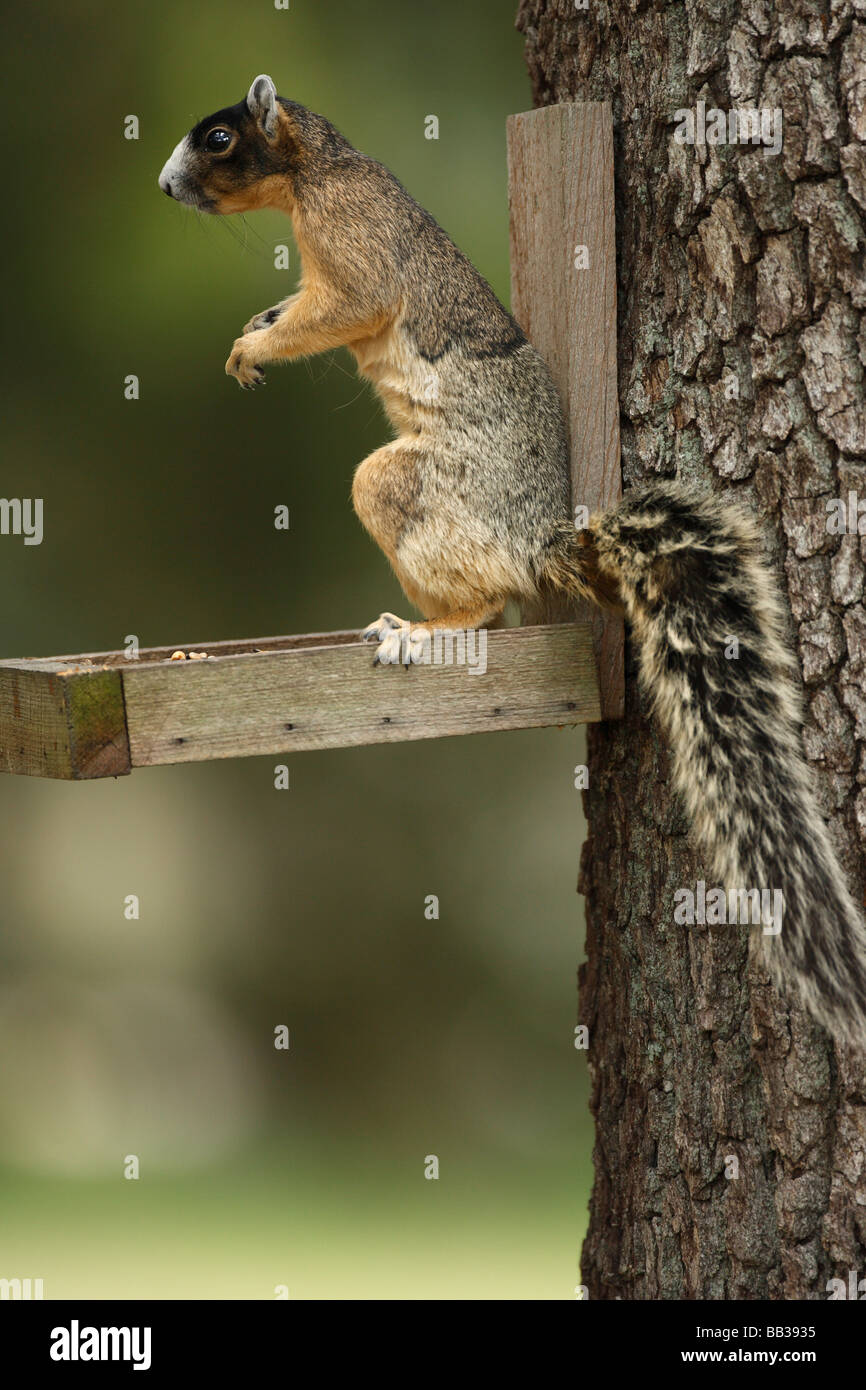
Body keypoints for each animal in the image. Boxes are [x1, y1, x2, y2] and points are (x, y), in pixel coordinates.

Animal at [159, 75, 866, 1045]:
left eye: (221, 139)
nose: (165, 185)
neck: (315, 175)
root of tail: (538, 533)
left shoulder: (351, 237)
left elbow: (346, 305)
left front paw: (255, 345)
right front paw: (256, 325)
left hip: (413, 495)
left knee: (484, 600)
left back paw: (422, 631)